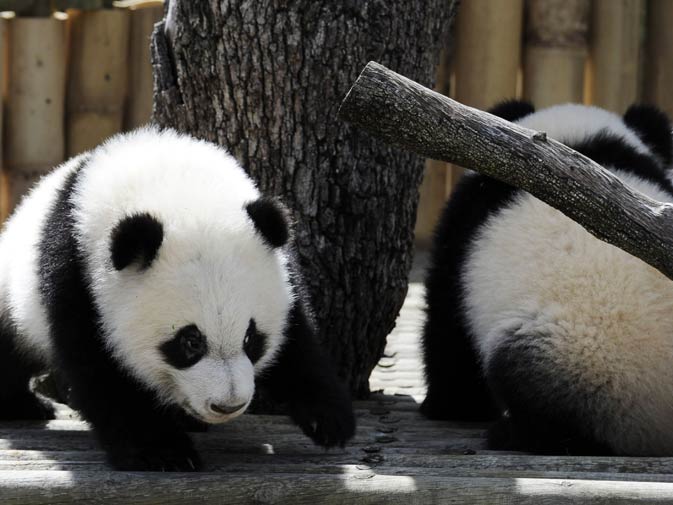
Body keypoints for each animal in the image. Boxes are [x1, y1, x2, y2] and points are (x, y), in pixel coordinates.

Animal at [0, 128, 355, 470]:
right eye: (190, 341)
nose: (227, 405)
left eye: (251, 338)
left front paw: (329, 419)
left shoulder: (279, 265)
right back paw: (23, 405)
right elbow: (101, 370)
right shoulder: (77, 276)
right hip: (12, 294)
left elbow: (296, 336)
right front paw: (160, 452)